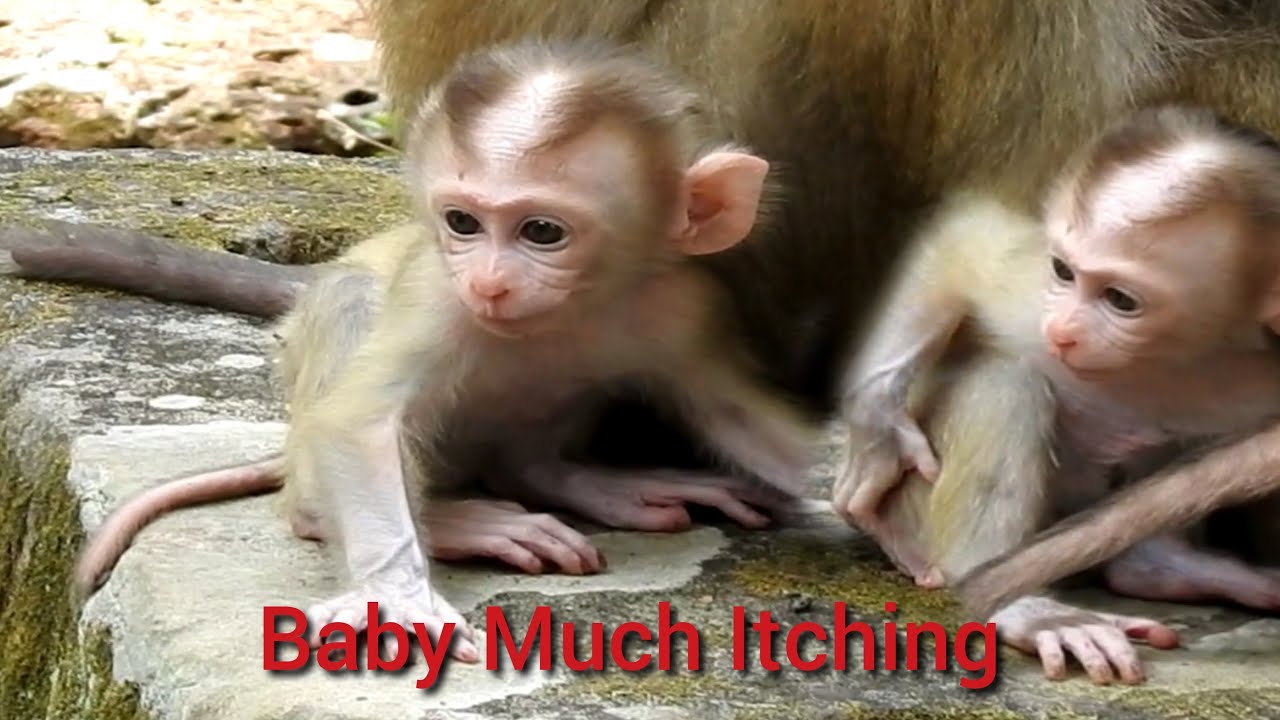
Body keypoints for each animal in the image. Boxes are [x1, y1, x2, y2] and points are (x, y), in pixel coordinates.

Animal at [839, 104, 1280, 682]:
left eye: (1121, 299)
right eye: (1063, 271)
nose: (1066, 330)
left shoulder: (1257, 371)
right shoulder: (1033, 308)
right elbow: (960, 249)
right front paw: (878, 430)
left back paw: (1159, 564)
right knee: (1011, 385)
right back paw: (1027, 609)